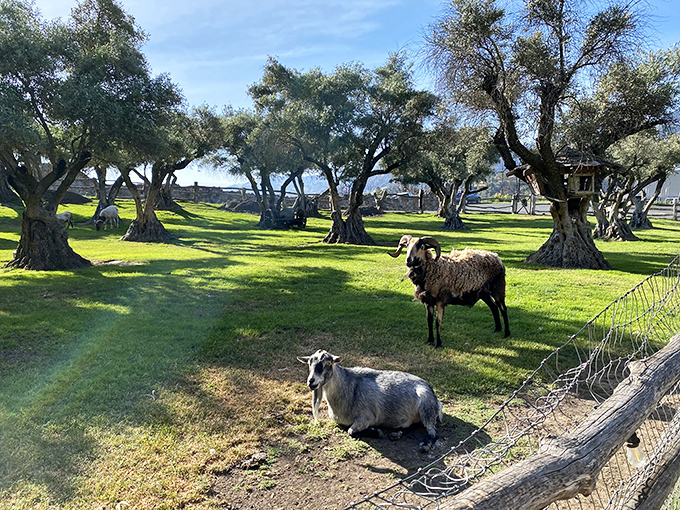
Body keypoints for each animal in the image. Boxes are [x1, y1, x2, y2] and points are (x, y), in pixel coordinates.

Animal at [298, 349, 443, 452]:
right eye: (309, 364)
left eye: (328, 364)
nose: (311, 382)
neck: (349, 387)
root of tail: (436, 400)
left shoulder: (367, 417)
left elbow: (351, 431)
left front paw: (376, 431)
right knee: (412, 425)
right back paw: (397, 433)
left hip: (426, 406)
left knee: (432, 431)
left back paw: (425, 445)